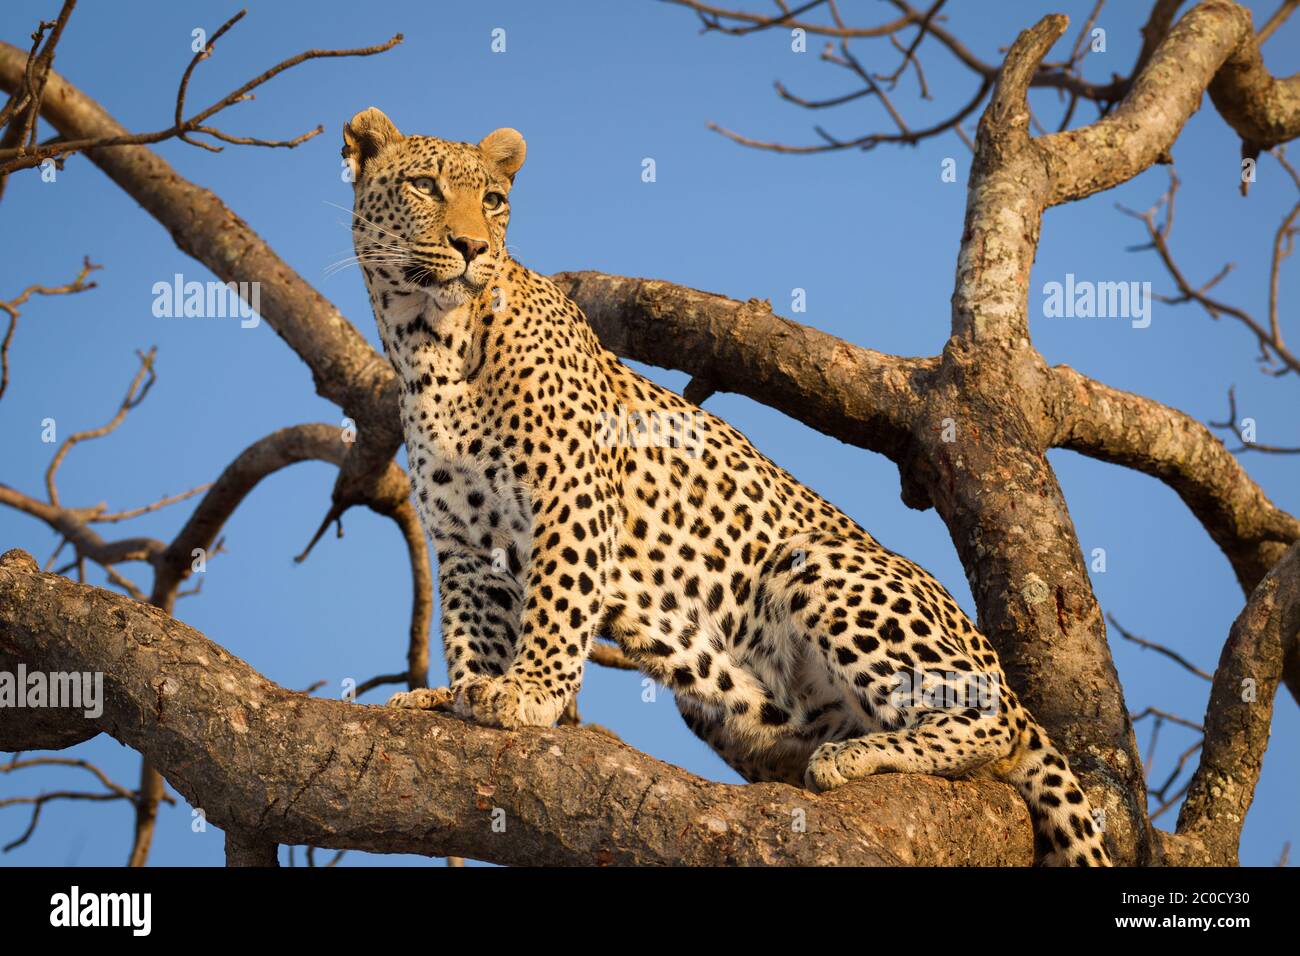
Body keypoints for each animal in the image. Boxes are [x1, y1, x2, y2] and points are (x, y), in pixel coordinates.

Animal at [343, 107, 1112, 866]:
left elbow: (557, 602)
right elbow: (470, 626)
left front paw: (528, 692)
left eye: (495, 201)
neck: (430, 345)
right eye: (424, 187)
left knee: (991, 725)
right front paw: (459, 693)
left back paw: (857, 755)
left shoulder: (572, 494)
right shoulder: (466, 542)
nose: (472, 246)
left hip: (821, 566)